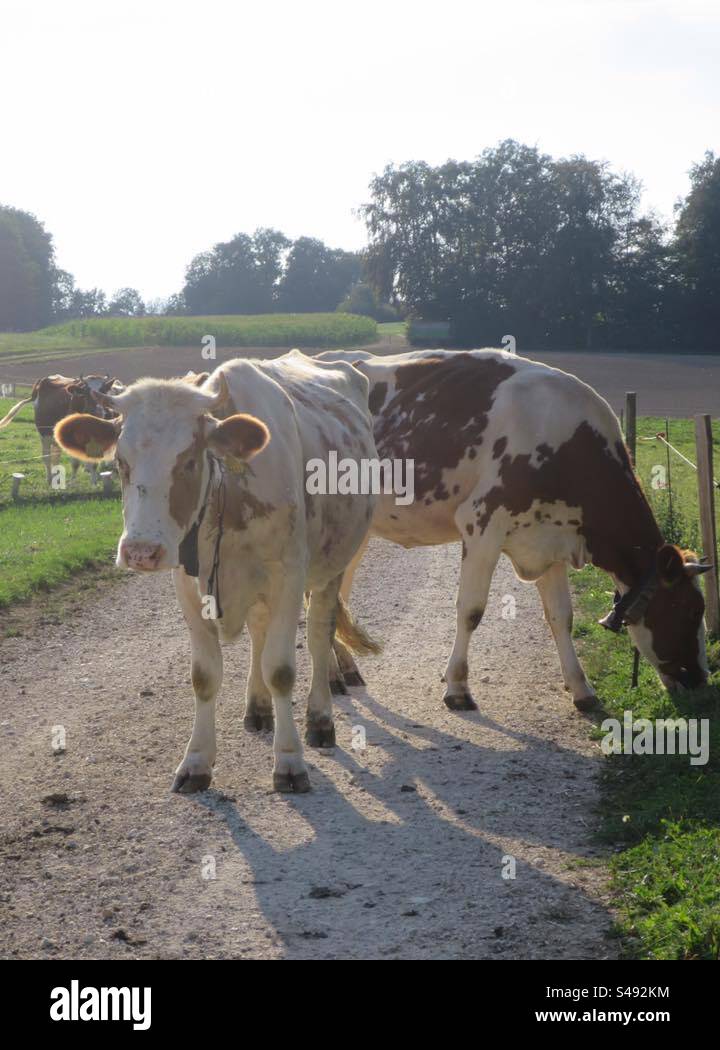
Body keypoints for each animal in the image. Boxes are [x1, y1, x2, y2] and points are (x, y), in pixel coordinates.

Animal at [54, 350, 378, 794]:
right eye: (121, 462)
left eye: (189, 462)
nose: (140, 551)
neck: (229, 487)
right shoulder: (188, 584)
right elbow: (204, 676)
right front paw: (196, 762)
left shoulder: (289, 576)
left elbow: (281, 670)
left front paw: (289, 761)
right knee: (260, 635)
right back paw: (257, 709)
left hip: (333, 566)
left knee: (317, 637)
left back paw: (320, 719)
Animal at [317, 347, 712, 707]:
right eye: (693, 610)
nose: (700, 682)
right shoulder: (482, 523)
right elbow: (471, 610)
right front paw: (457, 687)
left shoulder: (553, 538)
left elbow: (561, 616)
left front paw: (581, 688)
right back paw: (333, 676)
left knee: (335, 597)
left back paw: (346, 668)